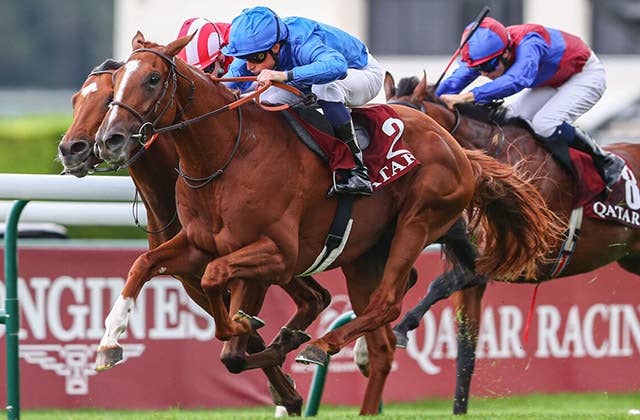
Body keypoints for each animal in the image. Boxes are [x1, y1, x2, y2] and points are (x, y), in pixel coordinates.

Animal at [57, 59, 335, 415]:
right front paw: (284, 387)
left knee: (319, 296)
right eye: (75, 99)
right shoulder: (191, 278)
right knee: (317, 297)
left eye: (108, 99)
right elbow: (243, 331)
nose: (71, 149)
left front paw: (287, 391)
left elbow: (244, 330)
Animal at [93, 32, 563, 415]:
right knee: (382, 343)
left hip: (419, 220)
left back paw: (319, 346)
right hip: (363, 258)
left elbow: (217, 284)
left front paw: (255, 330)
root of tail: (459, 148)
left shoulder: (278, 254)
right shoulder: (197, 243)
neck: (226, 156)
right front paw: (109, 342)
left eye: (154, 79)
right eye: (117, 83)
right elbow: (144, 267)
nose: (109, 139)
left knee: (387, 304)